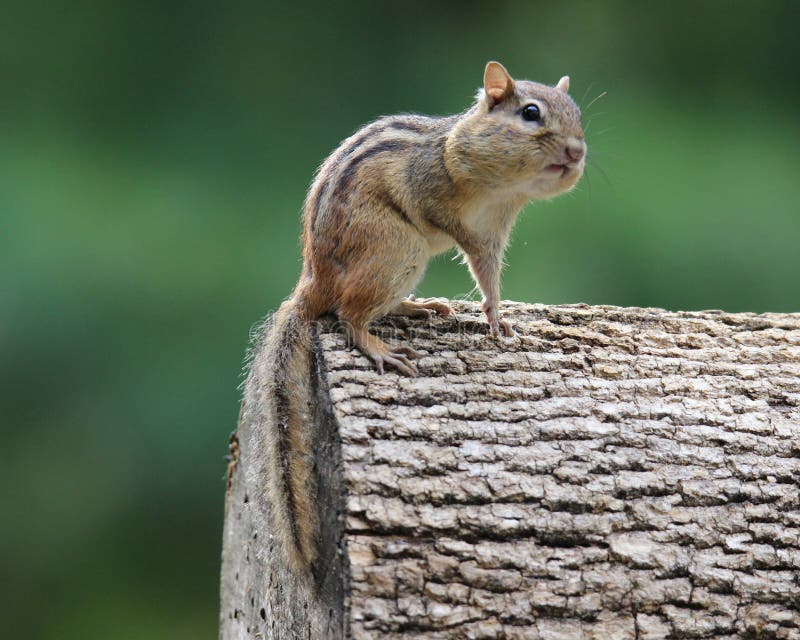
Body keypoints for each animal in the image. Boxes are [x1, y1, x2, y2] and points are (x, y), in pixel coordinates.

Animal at [259, 61, 586, 573]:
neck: (501, 188)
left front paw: (497, 319)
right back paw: (379, 347)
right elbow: (454, 230)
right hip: (398, 249)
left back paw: (419, 306)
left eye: (578, 116)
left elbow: (488, 274)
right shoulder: (430, 187)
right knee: (349, 314)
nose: (576, 152)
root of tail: (312, 281)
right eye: (530, 113)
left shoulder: (498, 229)